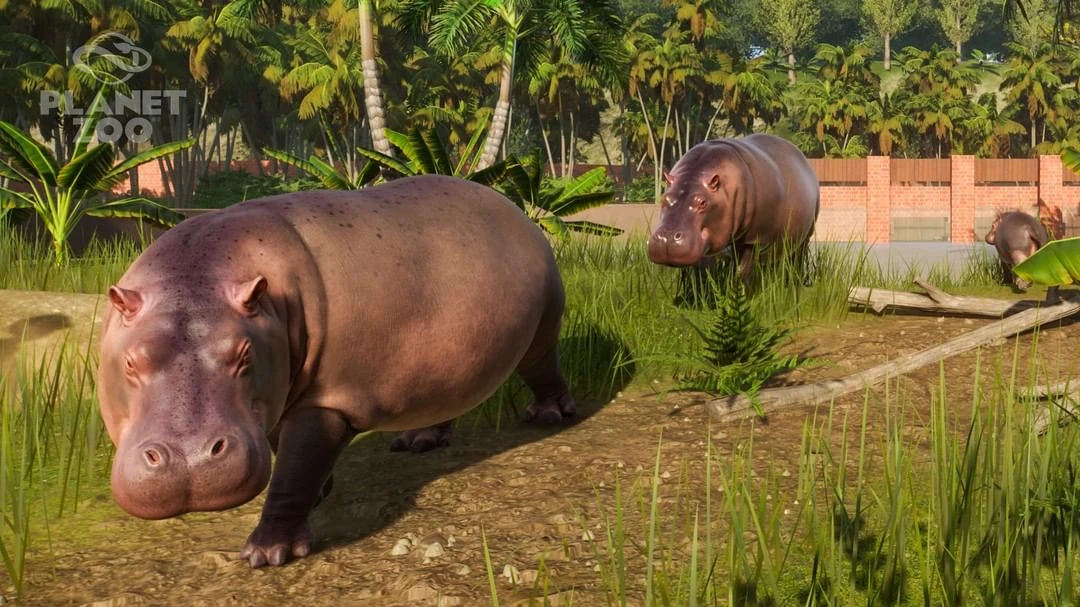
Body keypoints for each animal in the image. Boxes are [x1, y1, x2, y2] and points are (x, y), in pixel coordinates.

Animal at [96, 174, 576, 568]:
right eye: (131, 361)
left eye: (244, 353)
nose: (190, 462)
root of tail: (515, 209)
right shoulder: (284, 394)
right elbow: (288, 454)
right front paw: (323, 491)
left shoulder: (326, 401)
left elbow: (294, 470)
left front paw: (267, 554)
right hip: (453, 360)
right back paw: (419, 441)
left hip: (543, 326)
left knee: (544, 368)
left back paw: (549, 416)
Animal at [647, 134, 820, 296]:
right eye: (664, 198)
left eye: (702, 202)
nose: (666, 240)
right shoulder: (708, 246)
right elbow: (705, 272)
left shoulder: (753, 239)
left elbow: (741, 272)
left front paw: (741, 297)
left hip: (805, 237)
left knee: (795, 262)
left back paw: (791, 287)